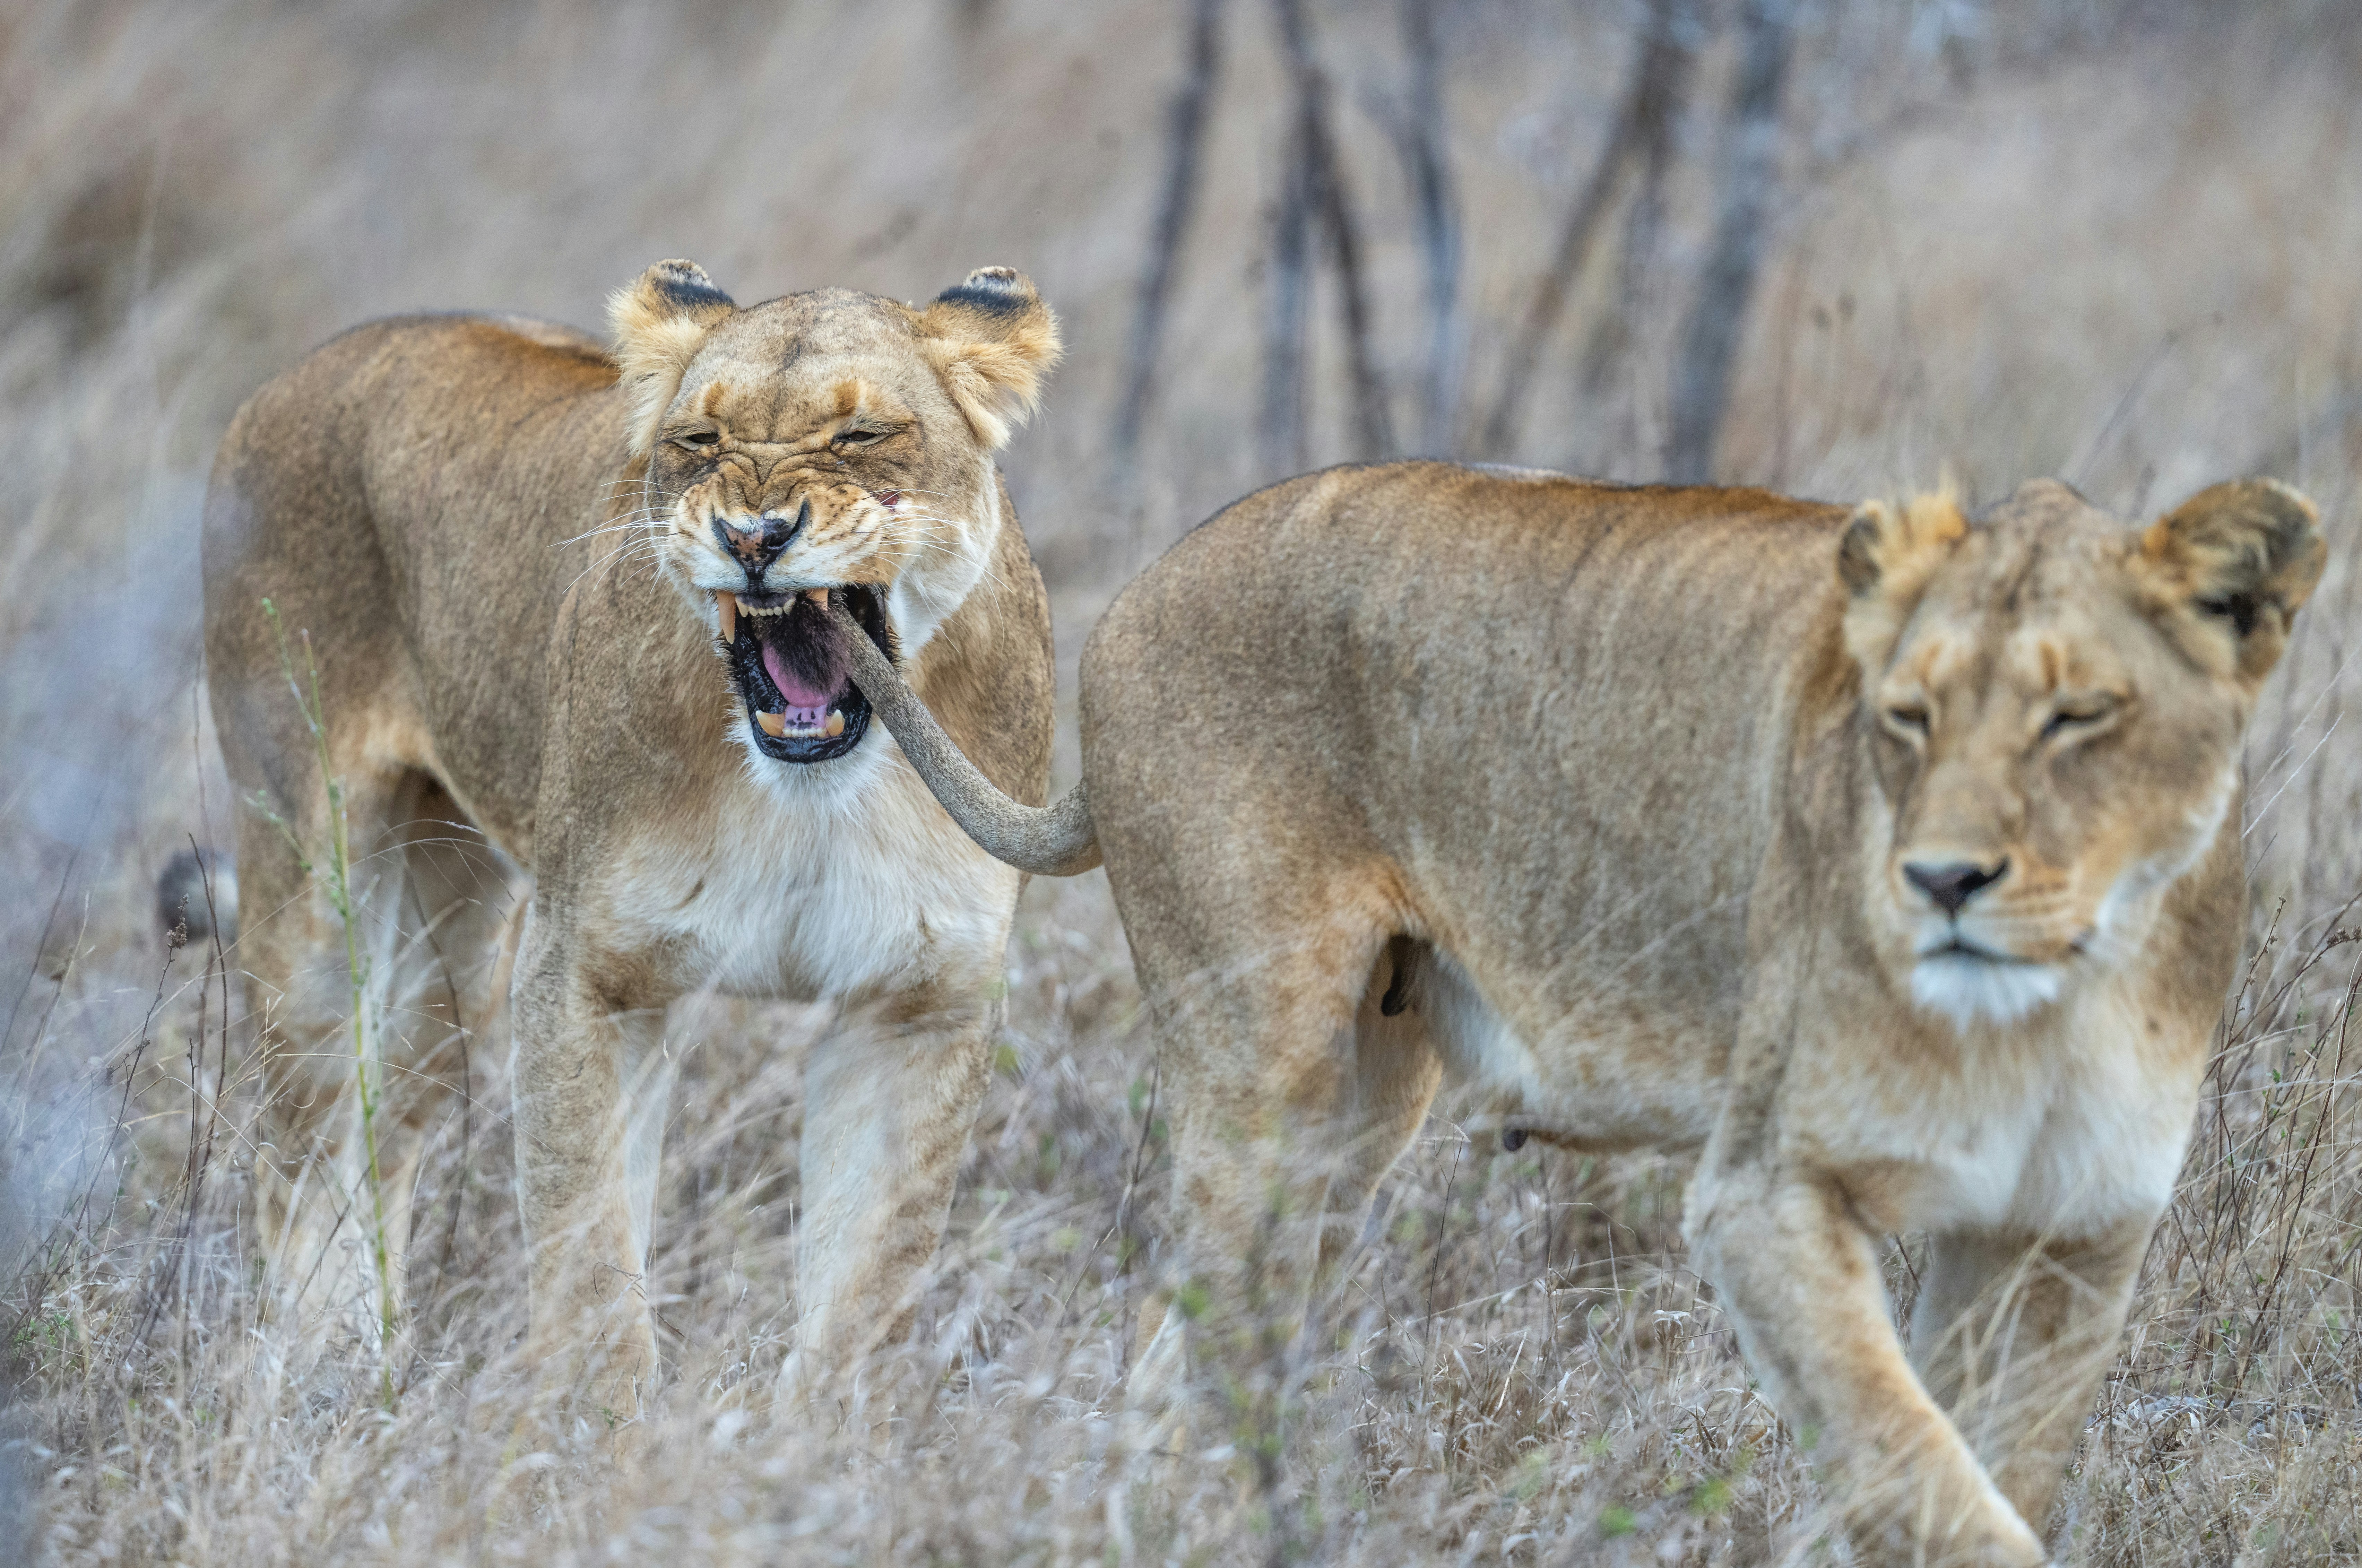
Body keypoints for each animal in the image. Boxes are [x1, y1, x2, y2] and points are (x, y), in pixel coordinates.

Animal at [201, 260, 1061, 1416]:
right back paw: (312, 1378)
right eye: (698, 440)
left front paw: (818, 1451)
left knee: (391, 1122)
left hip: (454, 934)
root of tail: (297, 372)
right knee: (303, 1139)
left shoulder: (917, 1000)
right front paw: (597, 1450)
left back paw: (371, 1366)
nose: (754, 538)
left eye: (861, 435)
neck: (813, 793)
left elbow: (863, 1298)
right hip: (309, 889)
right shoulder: (585, 973)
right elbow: (592, 1267)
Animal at [827, 464, 2324, 1563]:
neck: (2051, 1003)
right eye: (1904, 717)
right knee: (1185, 1332)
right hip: (1259, 1070)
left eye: (2078, 716)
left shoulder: (2066, 1232)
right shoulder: (1763, 1191)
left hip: (1359, 1111)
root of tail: (1144, 583)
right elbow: (1928, 1474)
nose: (1942, 880)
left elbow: (1950, 1464)